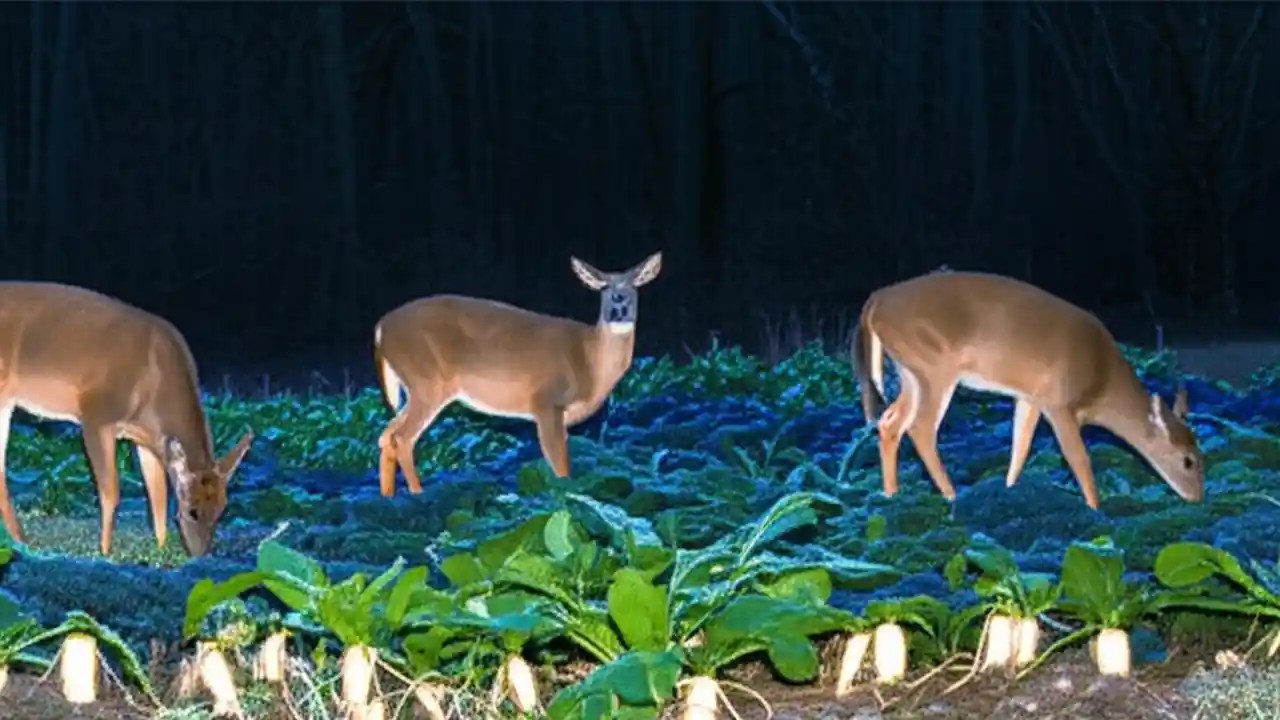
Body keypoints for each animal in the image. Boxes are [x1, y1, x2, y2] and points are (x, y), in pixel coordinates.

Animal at [0, 282, 254, 557]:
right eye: (192, 511)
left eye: (222, 510)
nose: (200, 556)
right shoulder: (96, 417)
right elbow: (111, 490)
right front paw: (105, 551)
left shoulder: (145, 439)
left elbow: (158, 494)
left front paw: (160, 548)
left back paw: (19, 539)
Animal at [373, 251, 662, 496]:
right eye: (604, 288)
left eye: (634, 286)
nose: (618, 308)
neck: (589, 360)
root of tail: (380, 328)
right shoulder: (546, 401)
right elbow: (560, 468)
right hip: (427, 381)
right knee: (402, 437)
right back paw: (417, 493)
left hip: (418, 387)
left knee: (386, 434)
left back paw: (388, 497)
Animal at [851, 270, 1205, 510]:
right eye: (1188, 461)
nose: (1197, 497)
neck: (1101, 382)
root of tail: (875, 301)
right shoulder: (1059, 403)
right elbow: (1078, 459)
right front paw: (1095, 509)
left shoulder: (1031, 397)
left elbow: (1020, 446)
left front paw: (1010, 490)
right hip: (934, 366)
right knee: (920, 428)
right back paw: (951, 496)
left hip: (909, 370)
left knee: (889, 422)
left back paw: (891, 494)